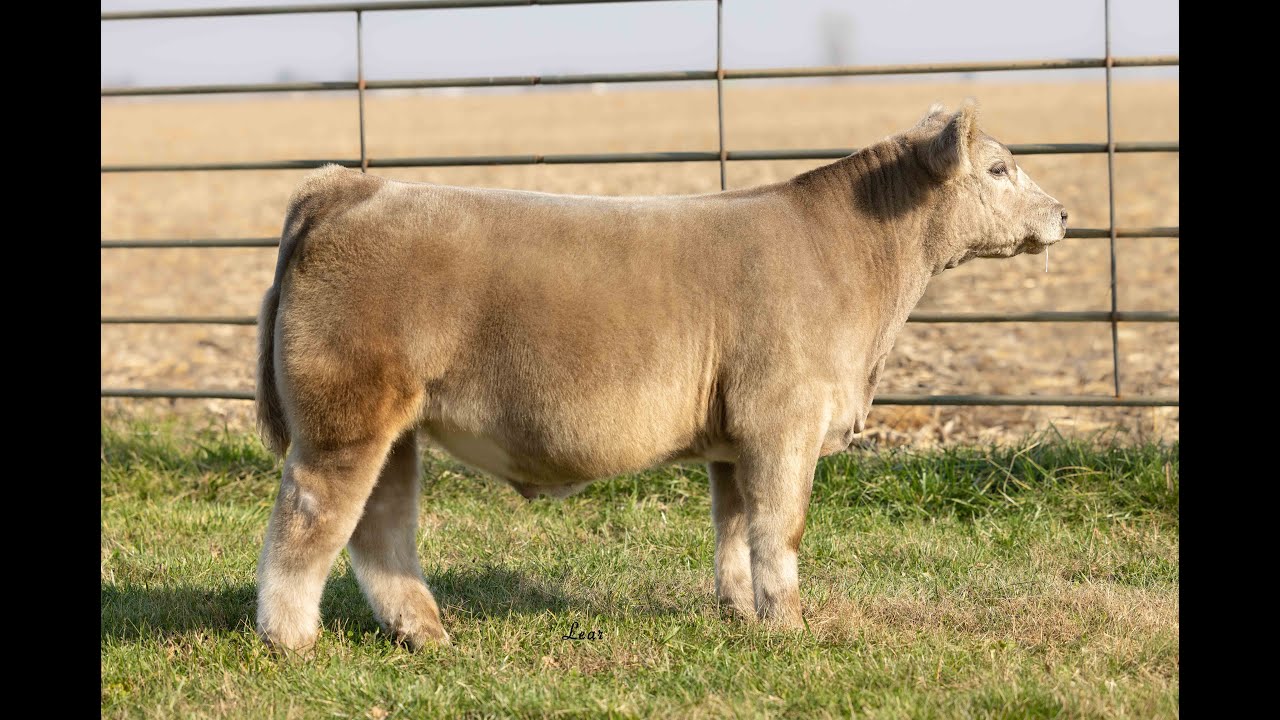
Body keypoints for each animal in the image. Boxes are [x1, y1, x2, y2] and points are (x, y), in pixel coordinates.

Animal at [253, 100, 1067, 652]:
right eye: (999, 168)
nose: (1062, 213)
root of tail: (352, 187)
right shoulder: (785, 418)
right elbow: (781, 529)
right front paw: (790, 627)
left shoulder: (736, 437)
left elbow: (734, 529)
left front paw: (741, 615)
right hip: (345, 415)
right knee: (311, 514)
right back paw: (291, 640)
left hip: (395, 427)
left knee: (380, 527)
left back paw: (425, 632)